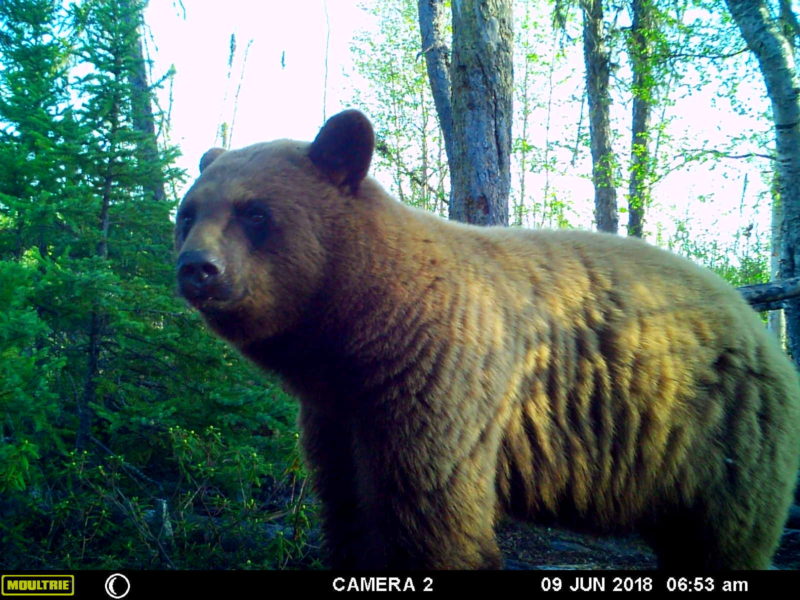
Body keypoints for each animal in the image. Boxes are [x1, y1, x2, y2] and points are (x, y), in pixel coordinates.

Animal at [175, 109, 800, 570]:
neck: (357, 329)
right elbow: (347, 505)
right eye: (189, 211)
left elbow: (432, 510)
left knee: (724, 538)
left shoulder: (442, 376)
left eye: (255, 213)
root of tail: (753, 321)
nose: (196, 268)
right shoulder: (340, 410)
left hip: (723, 435)